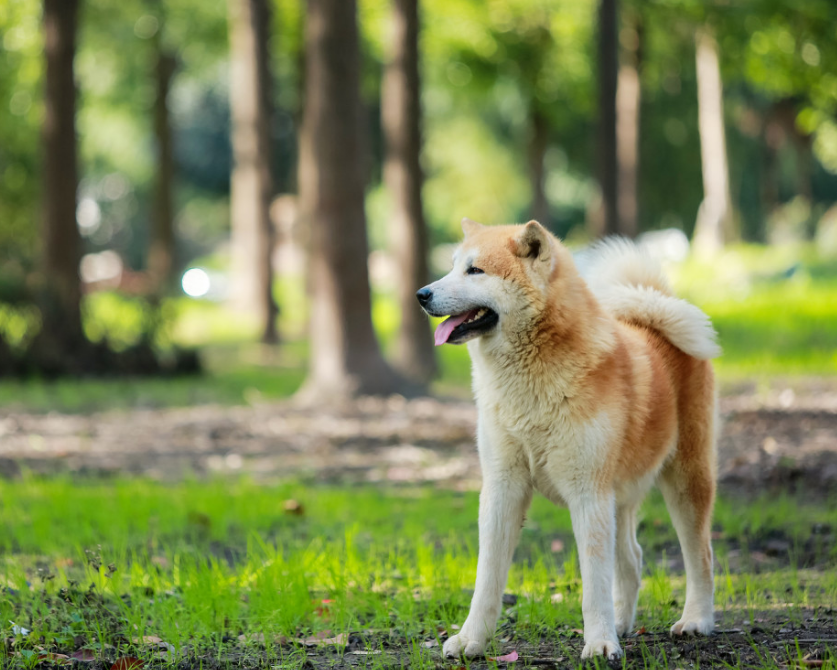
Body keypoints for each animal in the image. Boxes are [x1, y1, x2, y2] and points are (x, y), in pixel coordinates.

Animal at [416, 220, 720, 660]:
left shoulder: (587, 493)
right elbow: (487, 579)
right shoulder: (503, 488)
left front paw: (599, 643)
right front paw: (471, 639)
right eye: (452, 266)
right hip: (619, 497)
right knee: (632, 559)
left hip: (684, 482)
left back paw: (696, 620)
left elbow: (593, 583)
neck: (530, 383)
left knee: (701, 557)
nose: (421, 294)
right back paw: (622, 622)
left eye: (475, 271)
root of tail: (656, 311)